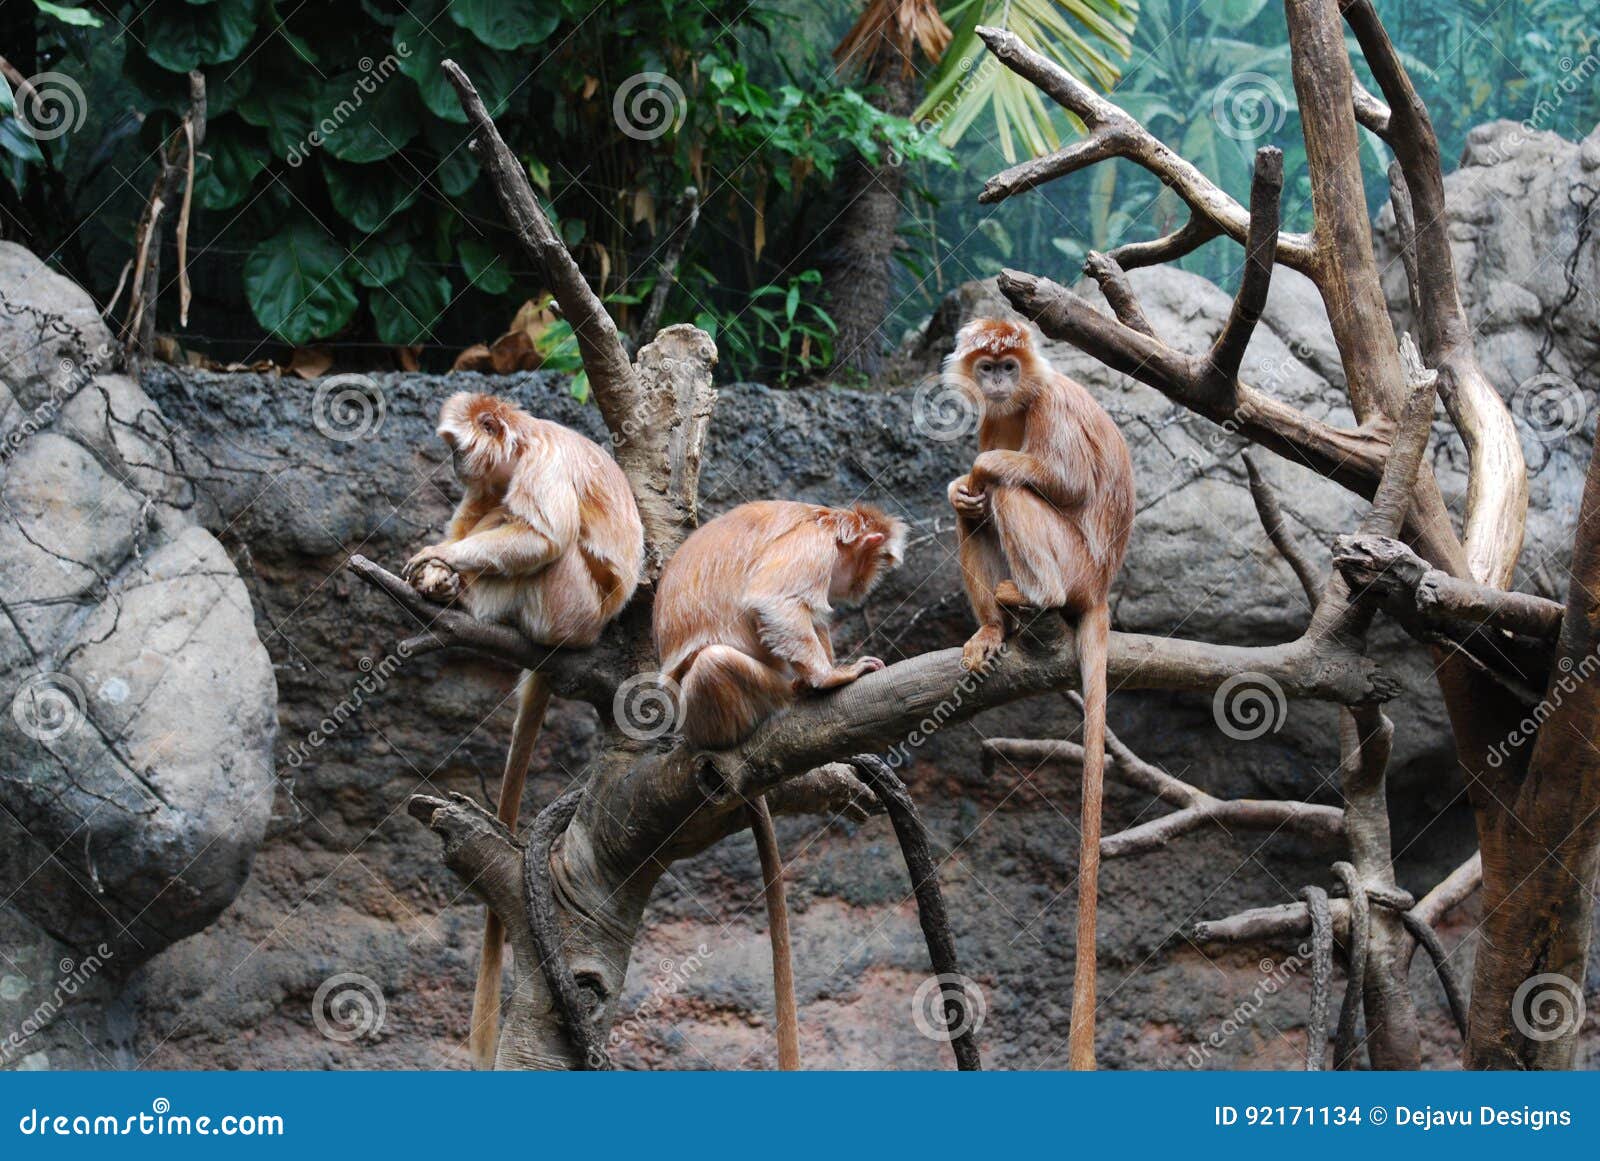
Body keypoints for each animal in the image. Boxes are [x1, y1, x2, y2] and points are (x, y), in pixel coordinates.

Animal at [403, 391, 643, 1069]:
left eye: (453, 444)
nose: (450, 463)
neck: (526, 440)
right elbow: (477, 515)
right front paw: (438, 563)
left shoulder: (542, 465)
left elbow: (543, 535)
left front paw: (440, 564)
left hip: (566, 607)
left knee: (546, 551)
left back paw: (469, 600)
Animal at [653, 499, 907, 1068]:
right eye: (875, 562)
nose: (864, 586)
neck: (826, 519)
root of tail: (689, 732)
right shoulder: (810, 546)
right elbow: (775, 603)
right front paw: (832, 677)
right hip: (734, 700)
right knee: (718, 662)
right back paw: (802, 691)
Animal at [944, 318, 1134, 1070]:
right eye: (987, 366)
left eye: (1009, 363)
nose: (997, 380)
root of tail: (1102, 586)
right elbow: (970, 491)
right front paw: (956, 489)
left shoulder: (1048, 405)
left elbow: (1054, 478)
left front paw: (977, 474)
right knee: (976, 516)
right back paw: (994, 626)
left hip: (1076, 564)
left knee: (1012, 492)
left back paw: (1034, 593)